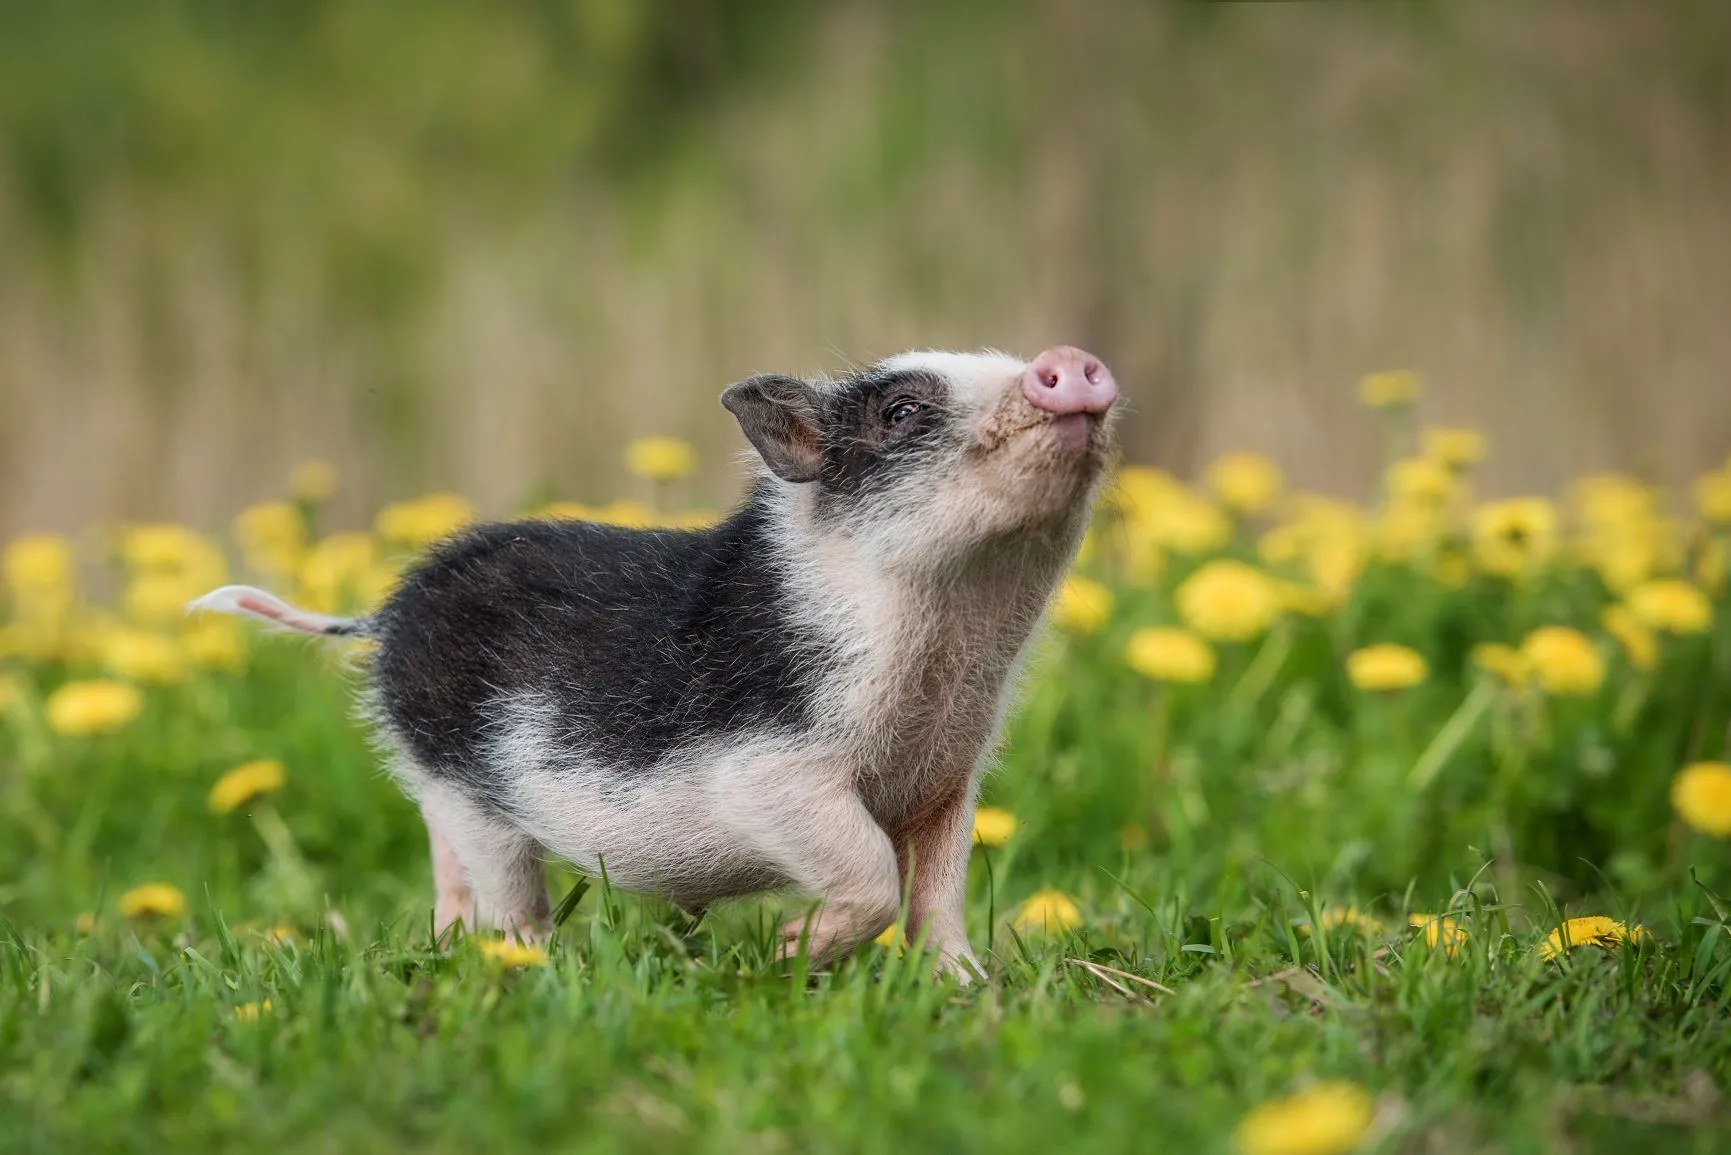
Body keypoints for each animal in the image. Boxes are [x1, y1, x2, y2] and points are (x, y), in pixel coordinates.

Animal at [192, 346, 1120, 979]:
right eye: (898, 412)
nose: (1067, 362)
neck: (953, 647)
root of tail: (390, 612)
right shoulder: (767, 769)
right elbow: (870, 871)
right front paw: (787, 954)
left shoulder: (949, 777)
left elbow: (938, 891)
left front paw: (967, 989)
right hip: (459, 774)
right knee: (504, 884)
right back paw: (530, 966)